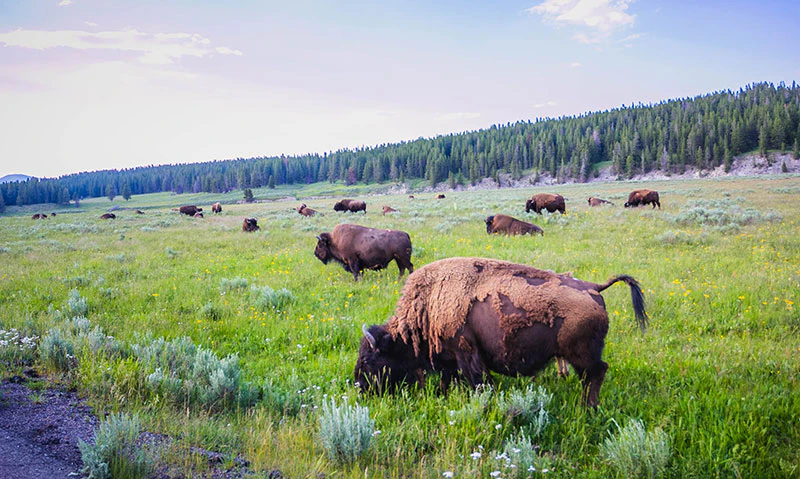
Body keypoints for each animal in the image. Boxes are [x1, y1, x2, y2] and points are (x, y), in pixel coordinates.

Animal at [354, 257, 647, 407]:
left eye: (368, 360)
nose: (359, 387)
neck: (426, 307)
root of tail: (594, 287)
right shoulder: (450, 359)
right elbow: (448, 380)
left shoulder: (466, 353)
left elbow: (478, 380)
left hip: (581, 355)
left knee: (596, 373)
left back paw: (588, 407)